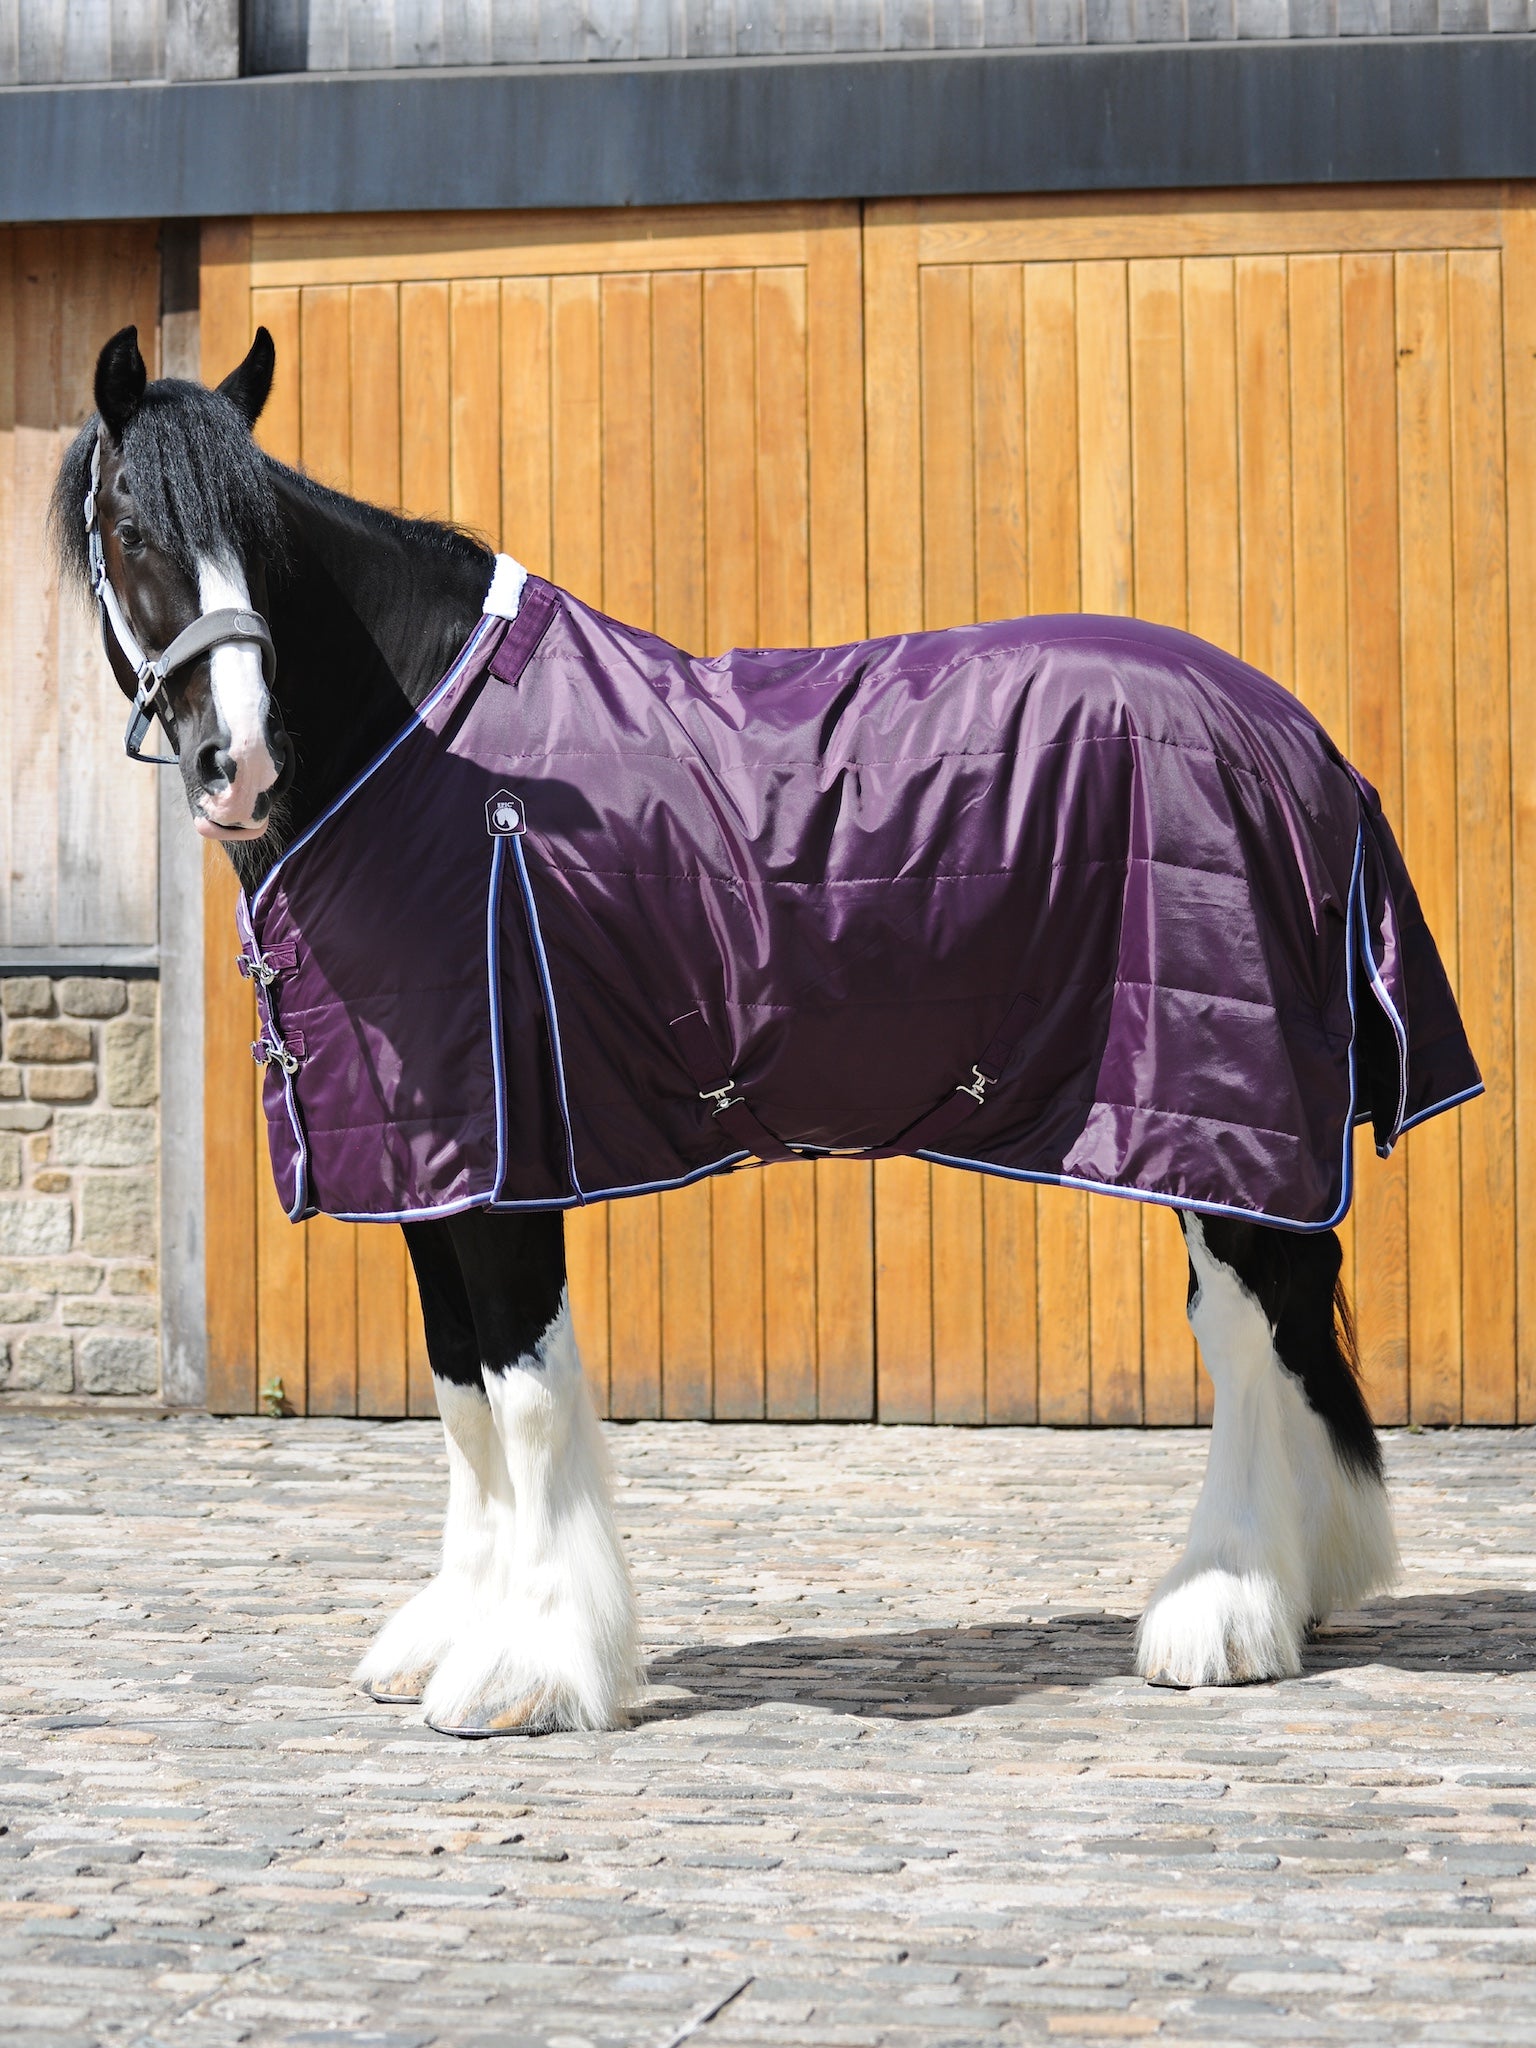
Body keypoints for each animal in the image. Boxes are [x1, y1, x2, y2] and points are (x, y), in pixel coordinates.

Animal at [51, 321, 1474, 1737]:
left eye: (260, 542)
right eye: (131, 526)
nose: (239, 762)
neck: (420, 753)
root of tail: (1304, 744)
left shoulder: (508, 1164)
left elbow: (523, 1396)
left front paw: (531, 1668)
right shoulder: (424, 1166)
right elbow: (459, 1398)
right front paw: (452, 1634)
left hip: (1215, 1125)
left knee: (1246, 1334)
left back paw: (1221, 1612)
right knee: (1289, 1325)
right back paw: (1312, 1583)